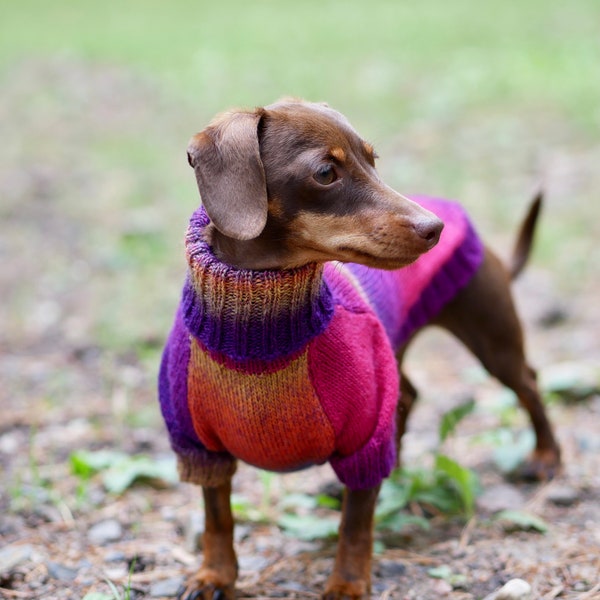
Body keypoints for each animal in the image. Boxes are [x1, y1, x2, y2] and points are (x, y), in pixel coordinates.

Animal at [157, 99, 560, 600]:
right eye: (325, 172)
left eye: (373, 159)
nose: (435, 227)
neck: (258, 332)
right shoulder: (199, 447)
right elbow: (217, 518)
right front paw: (215, 576)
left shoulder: (365, 436)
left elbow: (355, 524)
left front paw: (347, 583)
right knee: (410, 398)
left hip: (493, 342)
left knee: (528, 385)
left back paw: (546, 457)